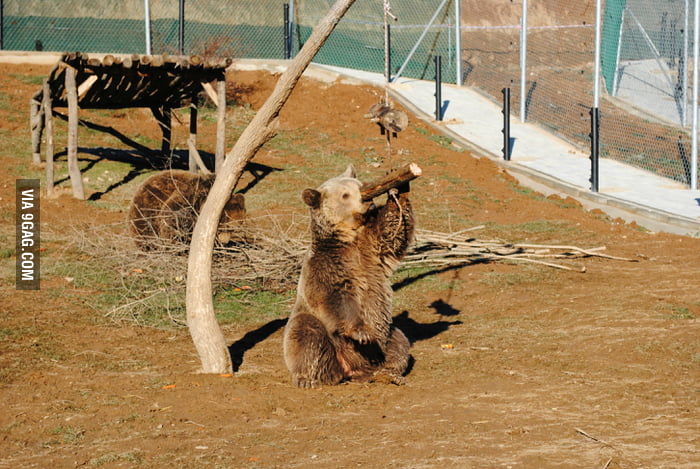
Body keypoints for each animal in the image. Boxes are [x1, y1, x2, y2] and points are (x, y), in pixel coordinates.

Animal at [283, 164, 415, 388]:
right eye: (345, 195)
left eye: (359, 185)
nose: (366, 200)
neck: (349, 237)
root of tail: (360, 370)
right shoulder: (327, 265)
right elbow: (337, 298)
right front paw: (362, 332)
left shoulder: (372, 246)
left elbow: (393, 232)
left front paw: (399, 183)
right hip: (329, 341)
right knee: (307, 335)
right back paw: (308, 379)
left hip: (386, 336)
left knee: (399, 342)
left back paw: (390, 373)